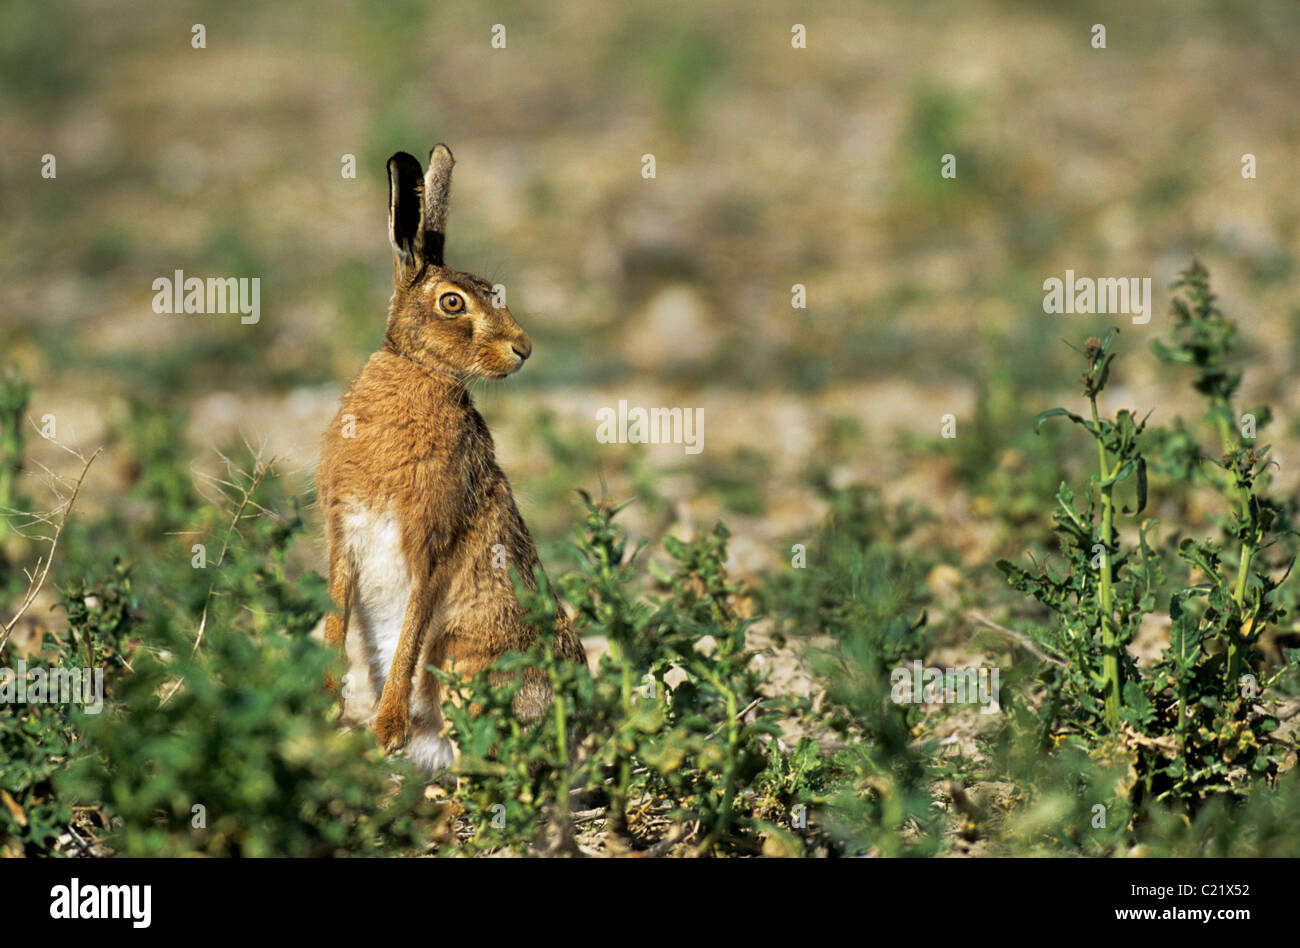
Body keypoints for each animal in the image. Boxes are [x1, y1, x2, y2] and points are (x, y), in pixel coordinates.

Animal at [317, 143, 586, 772]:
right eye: (453, 303)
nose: (523, 349)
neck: (419, 370)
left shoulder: (432, 539)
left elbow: (412, 628)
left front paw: (386, 726)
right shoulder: (344, 531)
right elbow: (336, 614)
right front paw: (320, 703)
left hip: (466, 669)